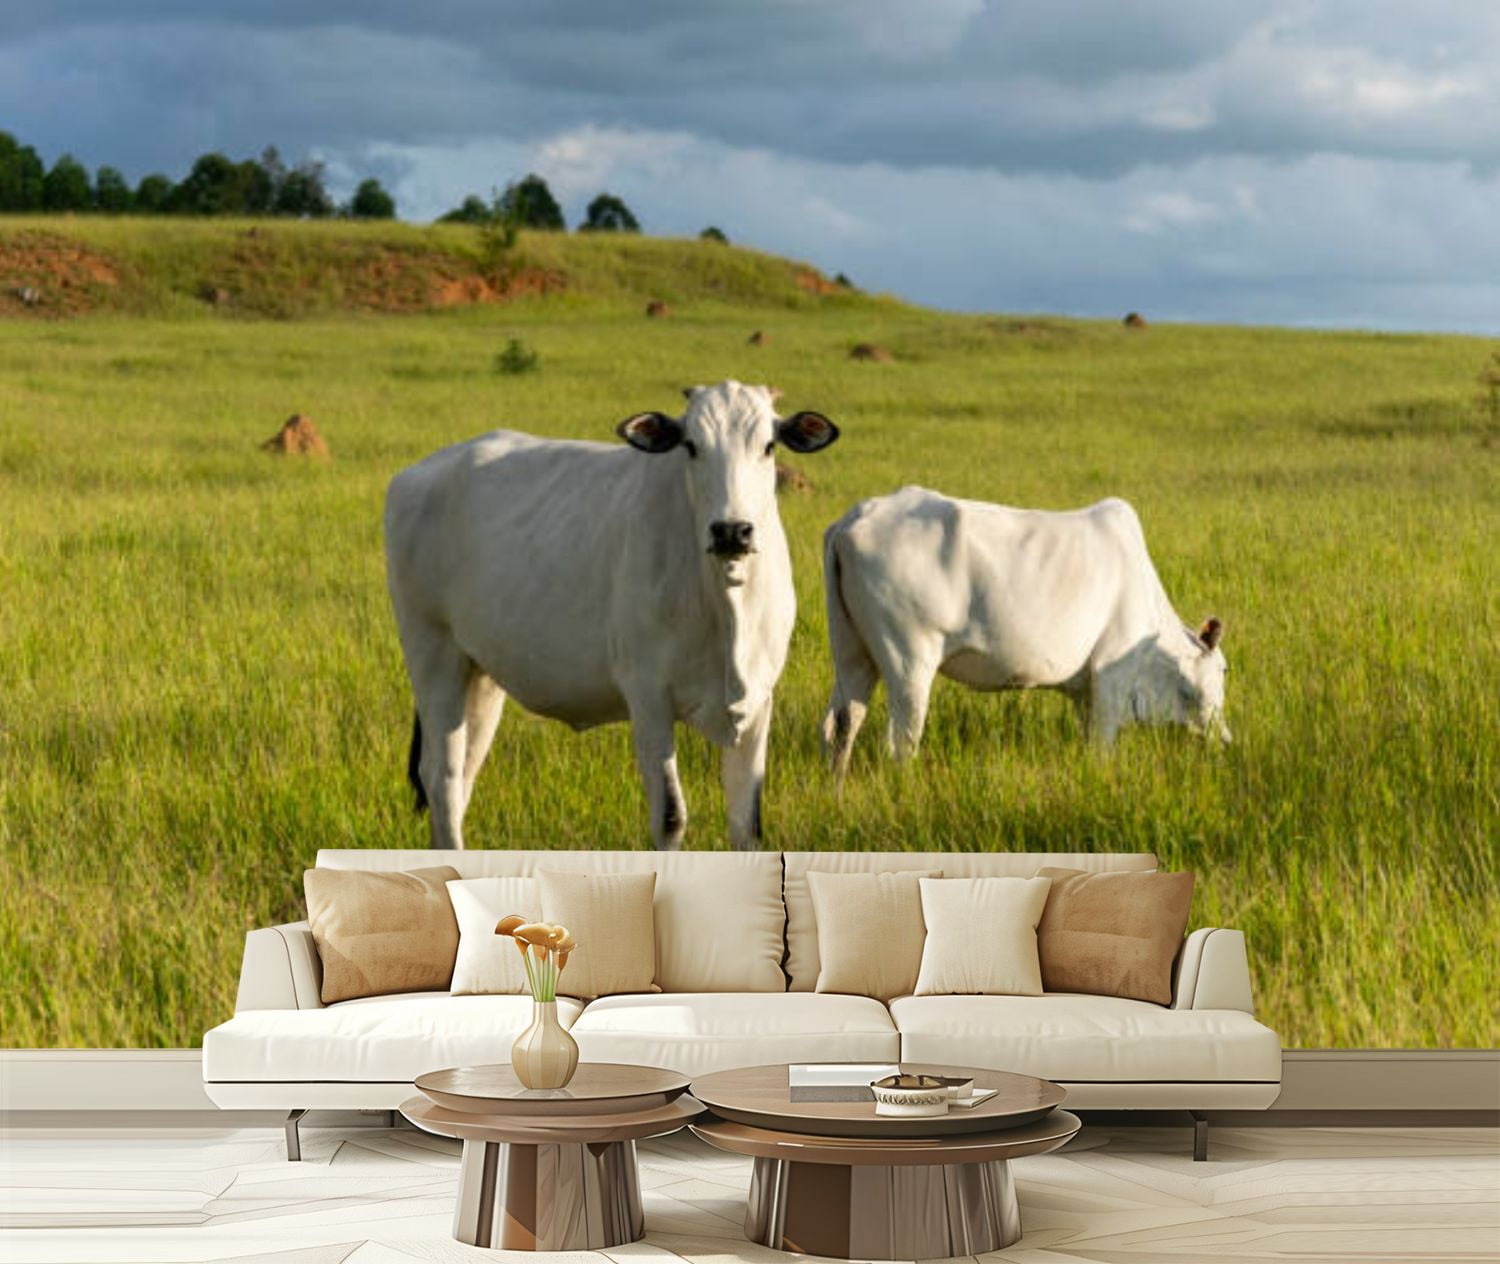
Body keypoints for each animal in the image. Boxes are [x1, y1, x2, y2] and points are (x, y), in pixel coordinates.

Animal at [384, 380, 839, 850]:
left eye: (769, 446)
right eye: (691, 445)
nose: (732, 531)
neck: (726, 606)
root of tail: (419, 473)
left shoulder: (758, 703)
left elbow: (746, 826)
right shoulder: (648, 696)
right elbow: (670, 817)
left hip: (482, 675)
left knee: (463, 777)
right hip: (433, 655)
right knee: (440, 778)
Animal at [820, 487, 1229, 775]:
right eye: (1224, 669)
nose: (1226, 740)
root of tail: (855, 518)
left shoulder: (1085, 691)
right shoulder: (1111, 675)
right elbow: (1102, 746)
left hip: (852, 652)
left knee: (841, 723)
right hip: (909, 660)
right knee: (901, 742)